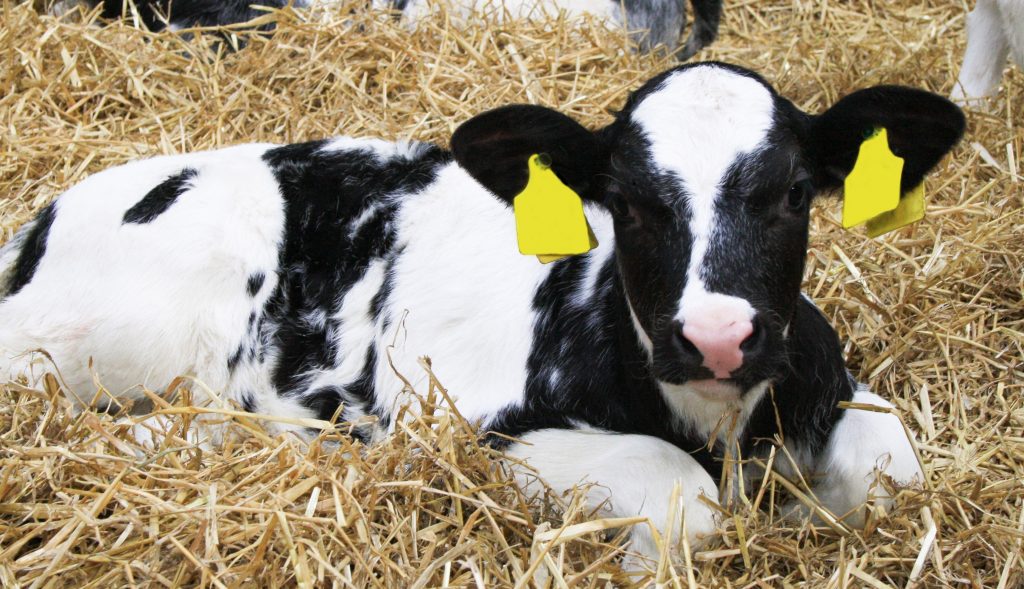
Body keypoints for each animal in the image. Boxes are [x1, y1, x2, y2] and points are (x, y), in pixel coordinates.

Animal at [0, 62, 964, 568]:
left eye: (796, 191)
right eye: (627, 202)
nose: (718, 336)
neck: (720, 425)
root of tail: (42, 219)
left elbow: (891, 470)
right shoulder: (491, 434)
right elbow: (679, 494)